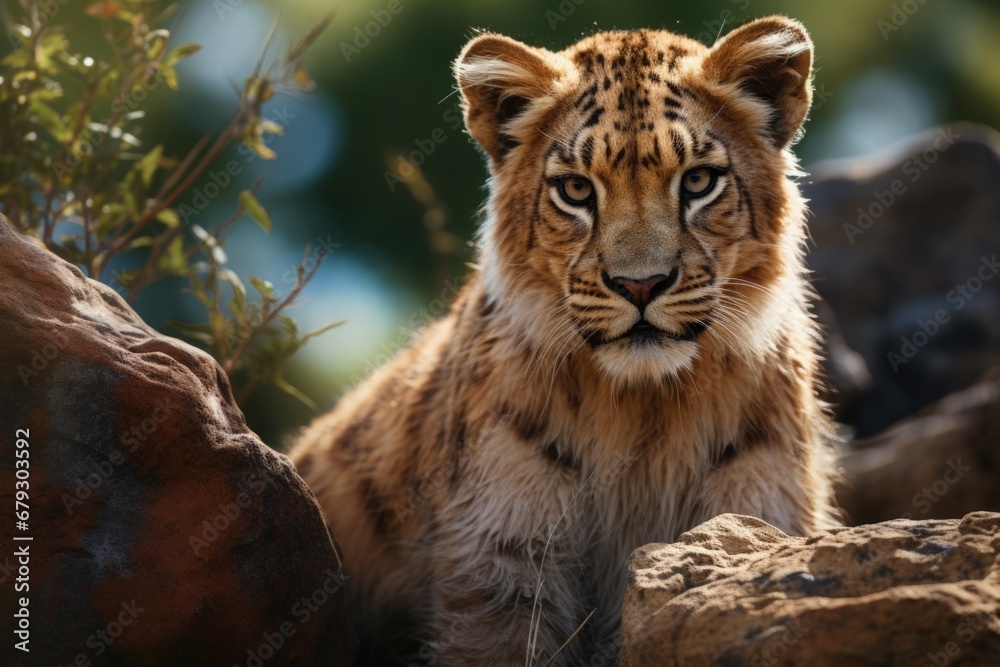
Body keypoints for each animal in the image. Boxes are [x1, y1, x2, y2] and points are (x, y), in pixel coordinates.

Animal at [291, 15, 840, 666]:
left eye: (699, 182)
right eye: (576, 190)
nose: (640, 283)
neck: (644, 412)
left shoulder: (759, 513)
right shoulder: (500, 559)